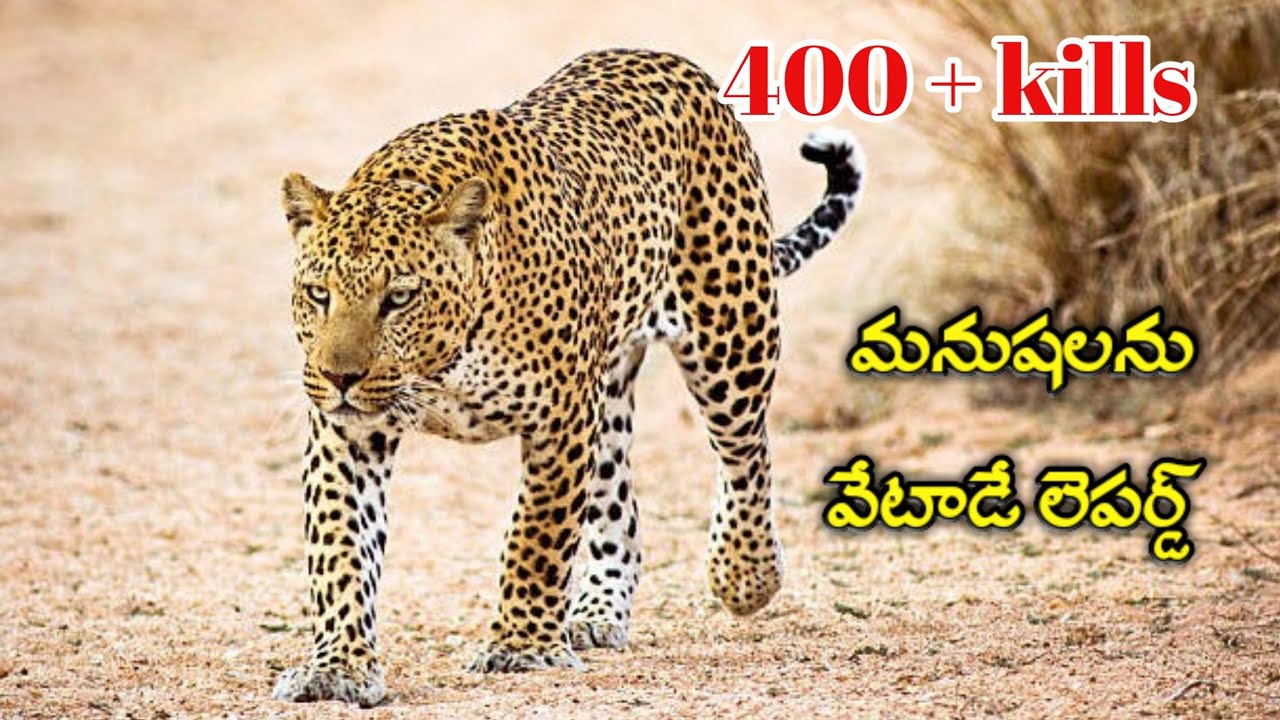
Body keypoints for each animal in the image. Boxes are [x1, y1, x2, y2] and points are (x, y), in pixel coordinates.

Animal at [270, 48, 865, 707]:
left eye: (399, 297)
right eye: (318, 294)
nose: (339, 376)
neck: (443, 361)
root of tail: (668, 60)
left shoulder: (559, 419)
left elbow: (538, 535)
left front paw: (521, 646)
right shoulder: (349, 433)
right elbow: (341, 549)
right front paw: (338, 667)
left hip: (731, 336)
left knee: (746, 452)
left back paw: (746, 574)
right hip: (610, 392)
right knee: (620, 508)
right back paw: (598, 610)